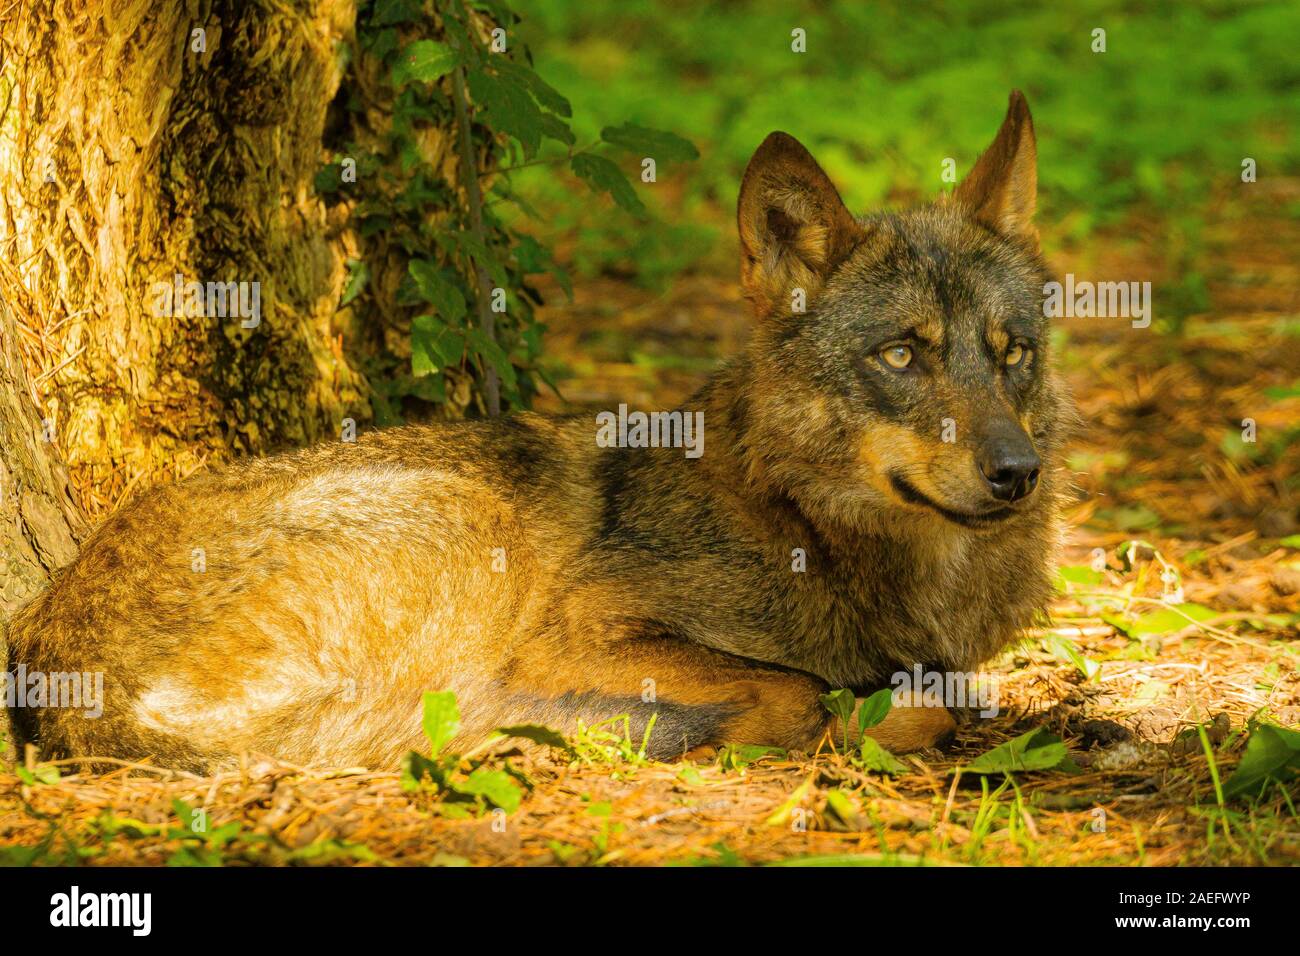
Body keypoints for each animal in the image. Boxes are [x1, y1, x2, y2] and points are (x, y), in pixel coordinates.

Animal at [5, 91, 1070, 772]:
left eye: (1011, 350)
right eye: (902, 354)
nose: (1017, 471)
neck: (813, 527)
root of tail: (54, 662)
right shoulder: (574, 640)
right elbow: (804, 692)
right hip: (473, 516)